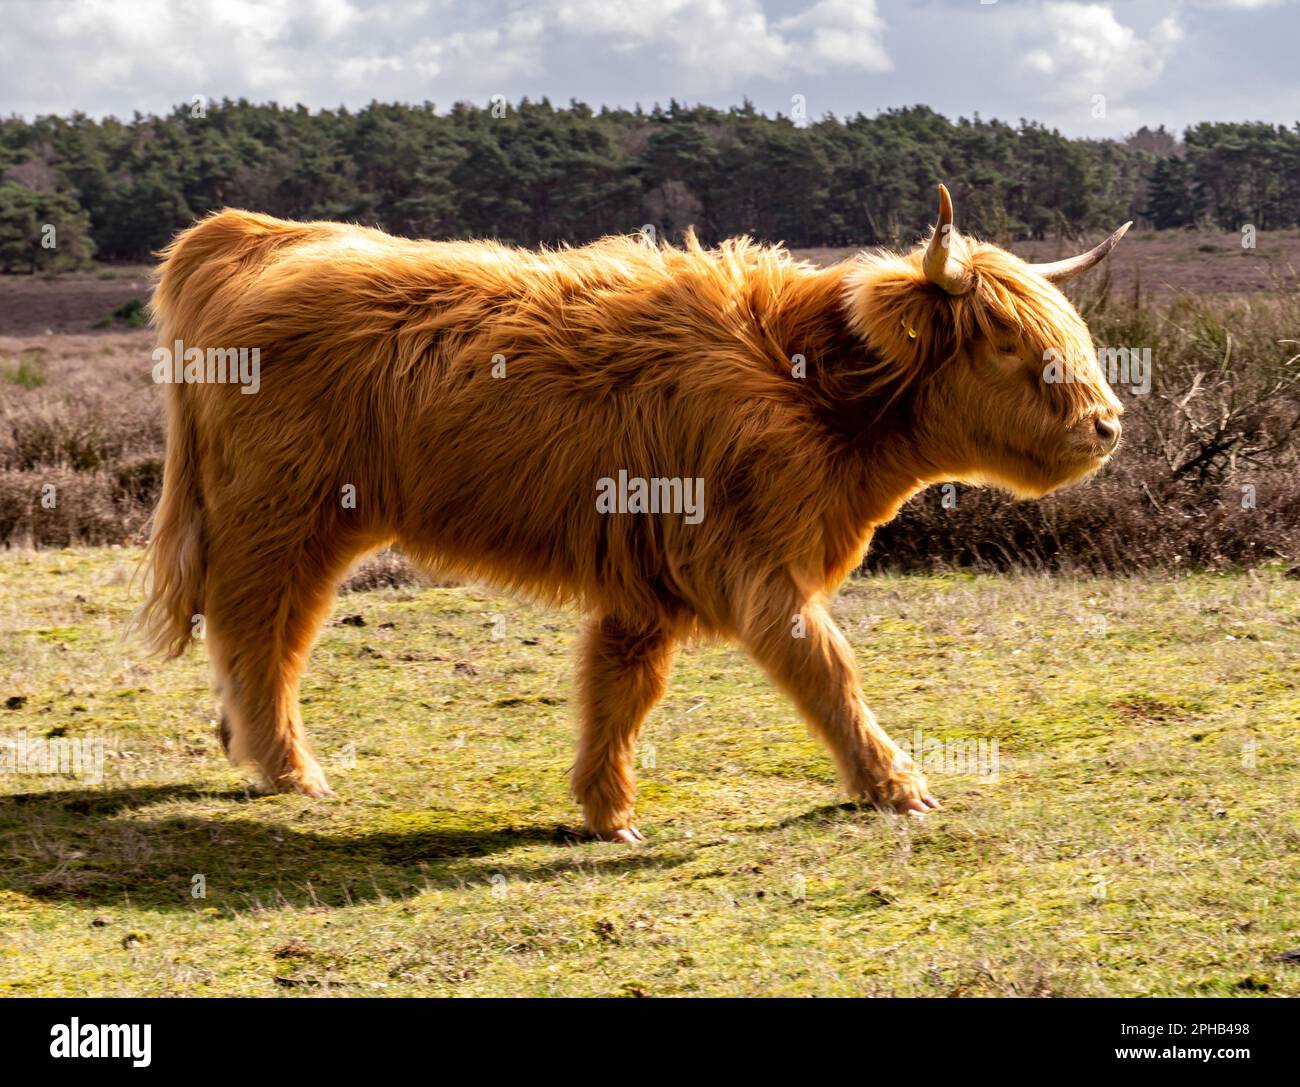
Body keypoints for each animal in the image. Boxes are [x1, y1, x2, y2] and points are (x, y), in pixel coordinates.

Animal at [142, 185, 1127, 841]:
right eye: (1007, 340)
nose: (1108, 424)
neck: (812, 385)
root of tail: (253, 235)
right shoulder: (753, 565)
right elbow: (827, 667)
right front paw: (896, 786)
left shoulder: (648, 579)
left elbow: (620, 687)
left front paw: (604, 808)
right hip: (283, 512)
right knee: (260, 626)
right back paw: (289, 767)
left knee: (268, 631)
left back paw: (247, 745)